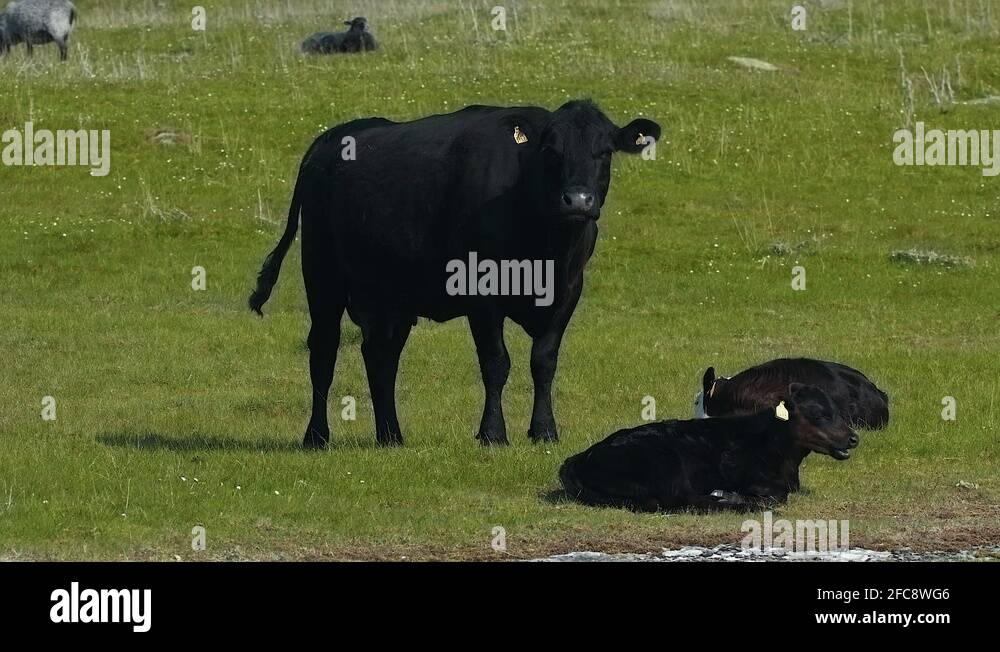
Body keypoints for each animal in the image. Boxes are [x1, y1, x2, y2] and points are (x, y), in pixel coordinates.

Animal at [249, 100, 660, 449]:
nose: (578, 200)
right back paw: (316, 436)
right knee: (324, 351)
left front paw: (544, 431)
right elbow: (496, 363)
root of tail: (333, 137)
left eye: (604, 152)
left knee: (381, 356)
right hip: (323, 276)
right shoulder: (482, 293)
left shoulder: (568, 293)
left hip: (389, 297)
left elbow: (543, 362)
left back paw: (391, 436)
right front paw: (492, 433)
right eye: (551, 152)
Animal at [559, 383, 859, 512]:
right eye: (819, 414)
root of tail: (579, 458)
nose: (854, 438)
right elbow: (776, 498)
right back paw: (724, 498)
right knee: (680, 500)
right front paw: (733, 496)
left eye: (838, 410)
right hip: (668, 467)